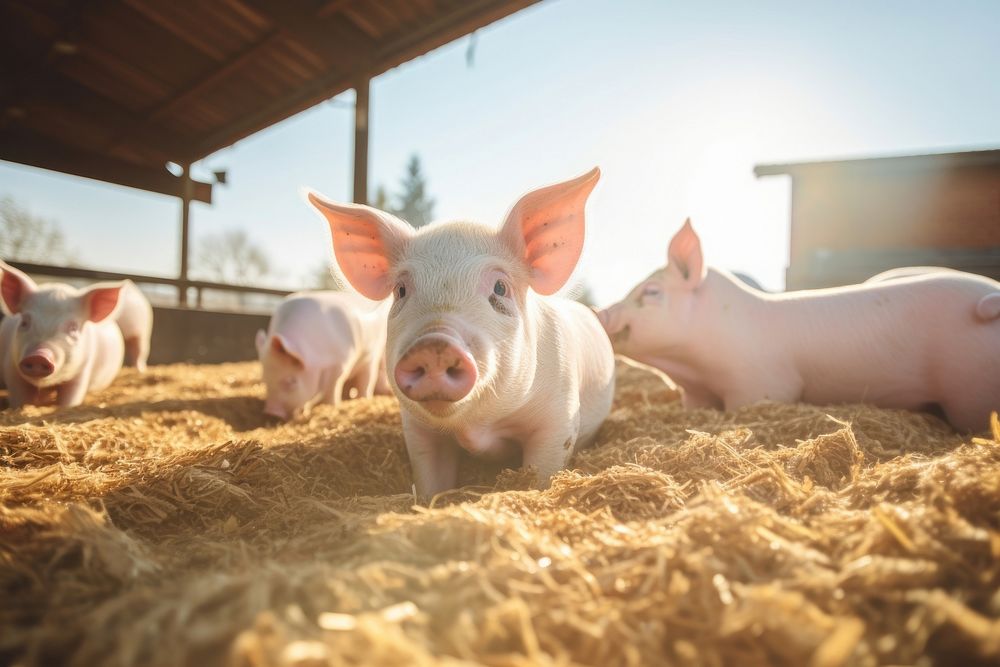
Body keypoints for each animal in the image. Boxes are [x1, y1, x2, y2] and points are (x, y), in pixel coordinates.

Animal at [0, 262, 125, 409]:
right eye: (24, 322)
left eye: (73, 328)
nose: (38, 355)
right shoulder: (11, 366)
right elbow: (20, 397)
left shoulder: (83, 369)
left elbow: (71, 397)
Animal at [255, 291, 391, 420]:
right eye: (264, 380)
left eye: (291, 381)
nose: (271, 413)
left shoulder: (342, 363)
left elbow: (334, 388)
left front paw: (332, 406)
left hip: (377, 350)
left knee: (372, 375)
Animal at [307, 168, 616, 498]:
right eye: (400, 290)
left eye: (500, 288)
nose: (434, 344)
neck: (478, 427)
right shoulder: (418, 428)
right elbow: (430, 479)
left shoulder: (558, 419)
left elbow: (542, 473)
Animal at [597, 220, 1000, 433]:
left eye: (651, 292)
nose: (600, 312)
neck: (695, 368)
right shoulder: (695, 395)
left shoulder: (762, 383)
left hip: (969, 385)